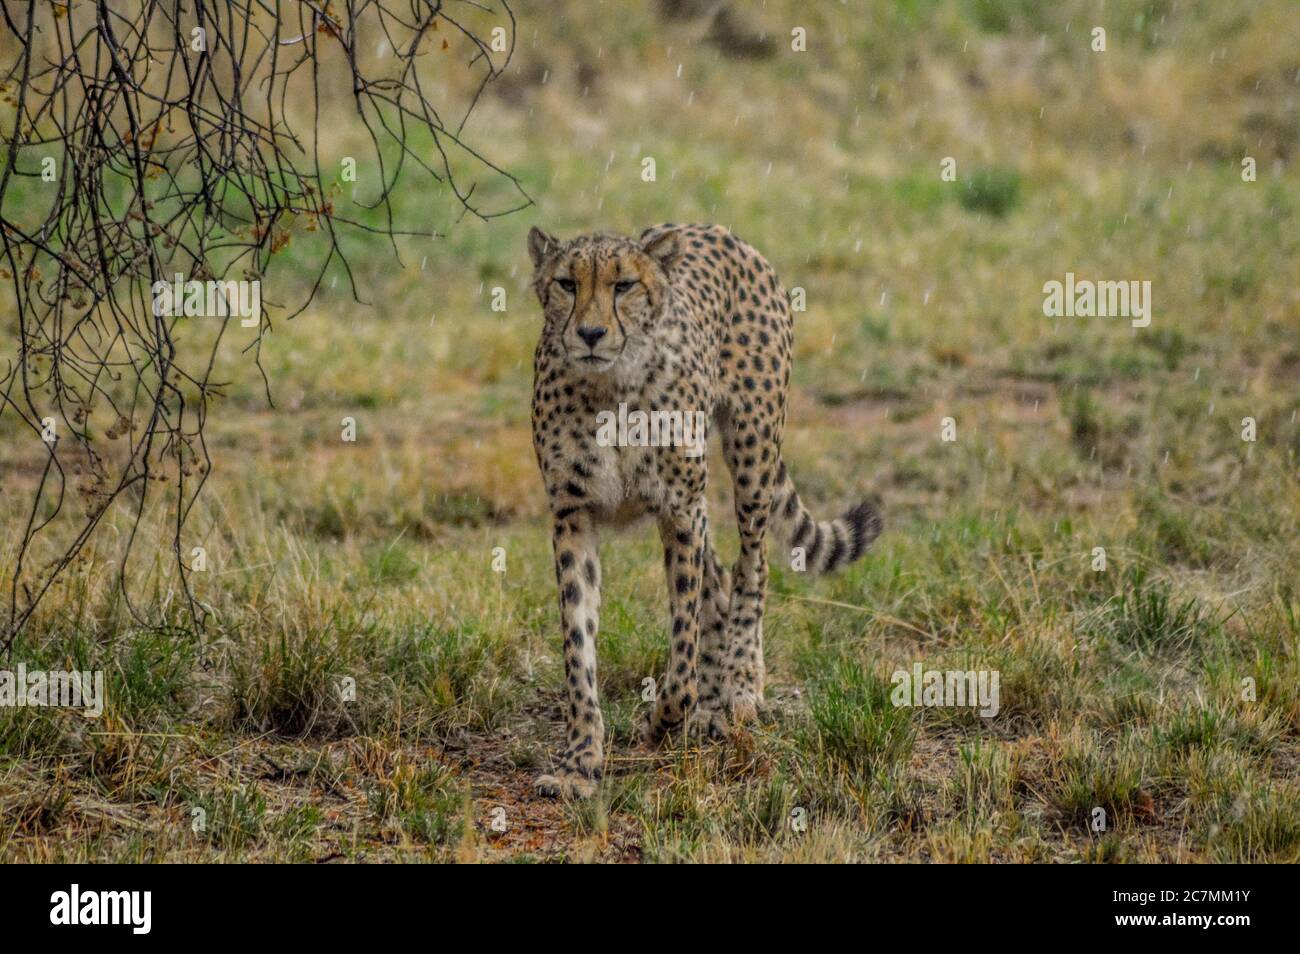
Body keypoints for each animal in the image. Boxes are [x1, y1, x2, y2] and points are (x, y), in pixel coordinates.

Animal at [527, 222, 882, 798]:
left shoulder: (680, 510)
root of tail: (715, 229)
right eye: (566, 283)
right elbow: (578, 646)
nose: (591, 334)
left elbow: (683, 638)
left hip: (752, 448)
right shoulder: (572, 516)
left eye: (623, 285)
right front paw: (580, 762)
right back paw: (717, 699)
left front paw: (665, 720)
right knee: (718, 577)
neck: (611, 389)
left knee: (750, 566)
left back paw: (739, 688)